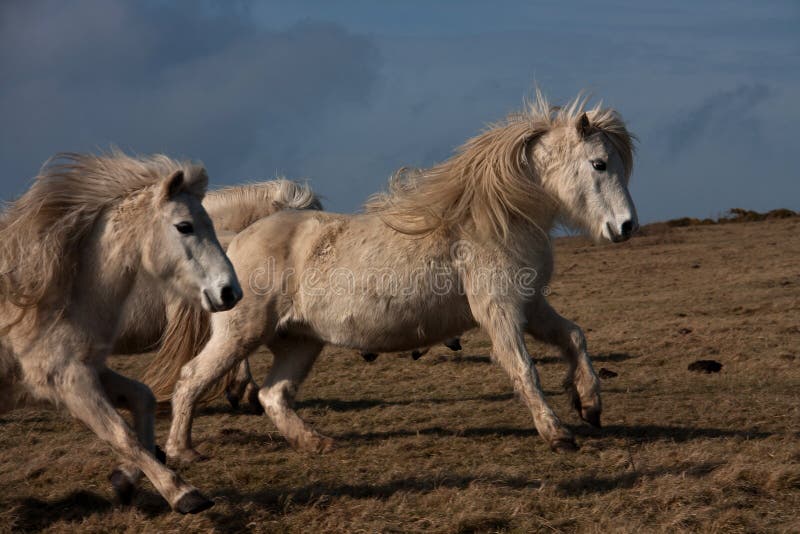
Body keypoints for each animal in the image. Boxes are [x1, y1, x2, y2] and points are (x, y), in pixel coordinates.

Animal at [0, 152, 242, 513]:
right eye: (184, 226)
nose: (230, 292)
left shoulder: (91, 370)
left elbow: (143, 399)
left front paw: (126, 479)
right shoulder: (69, 381)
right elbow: (120, 433)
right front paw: (184, 493)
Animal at [151, 91, 638, 462]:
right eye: (599, 164)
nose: (627, 226)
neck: (493, 220)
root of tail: (233, 244)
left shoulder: (531, 306)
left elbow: (573, 337)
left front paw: (589, 405)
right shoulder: (499, 312)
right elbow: (523, 368)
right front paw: (557, 433)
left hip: (300, 343)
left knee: (274, 395)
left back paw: (317, 443)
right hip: (241, 336)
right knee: (192, 379)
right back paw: (182, 453)